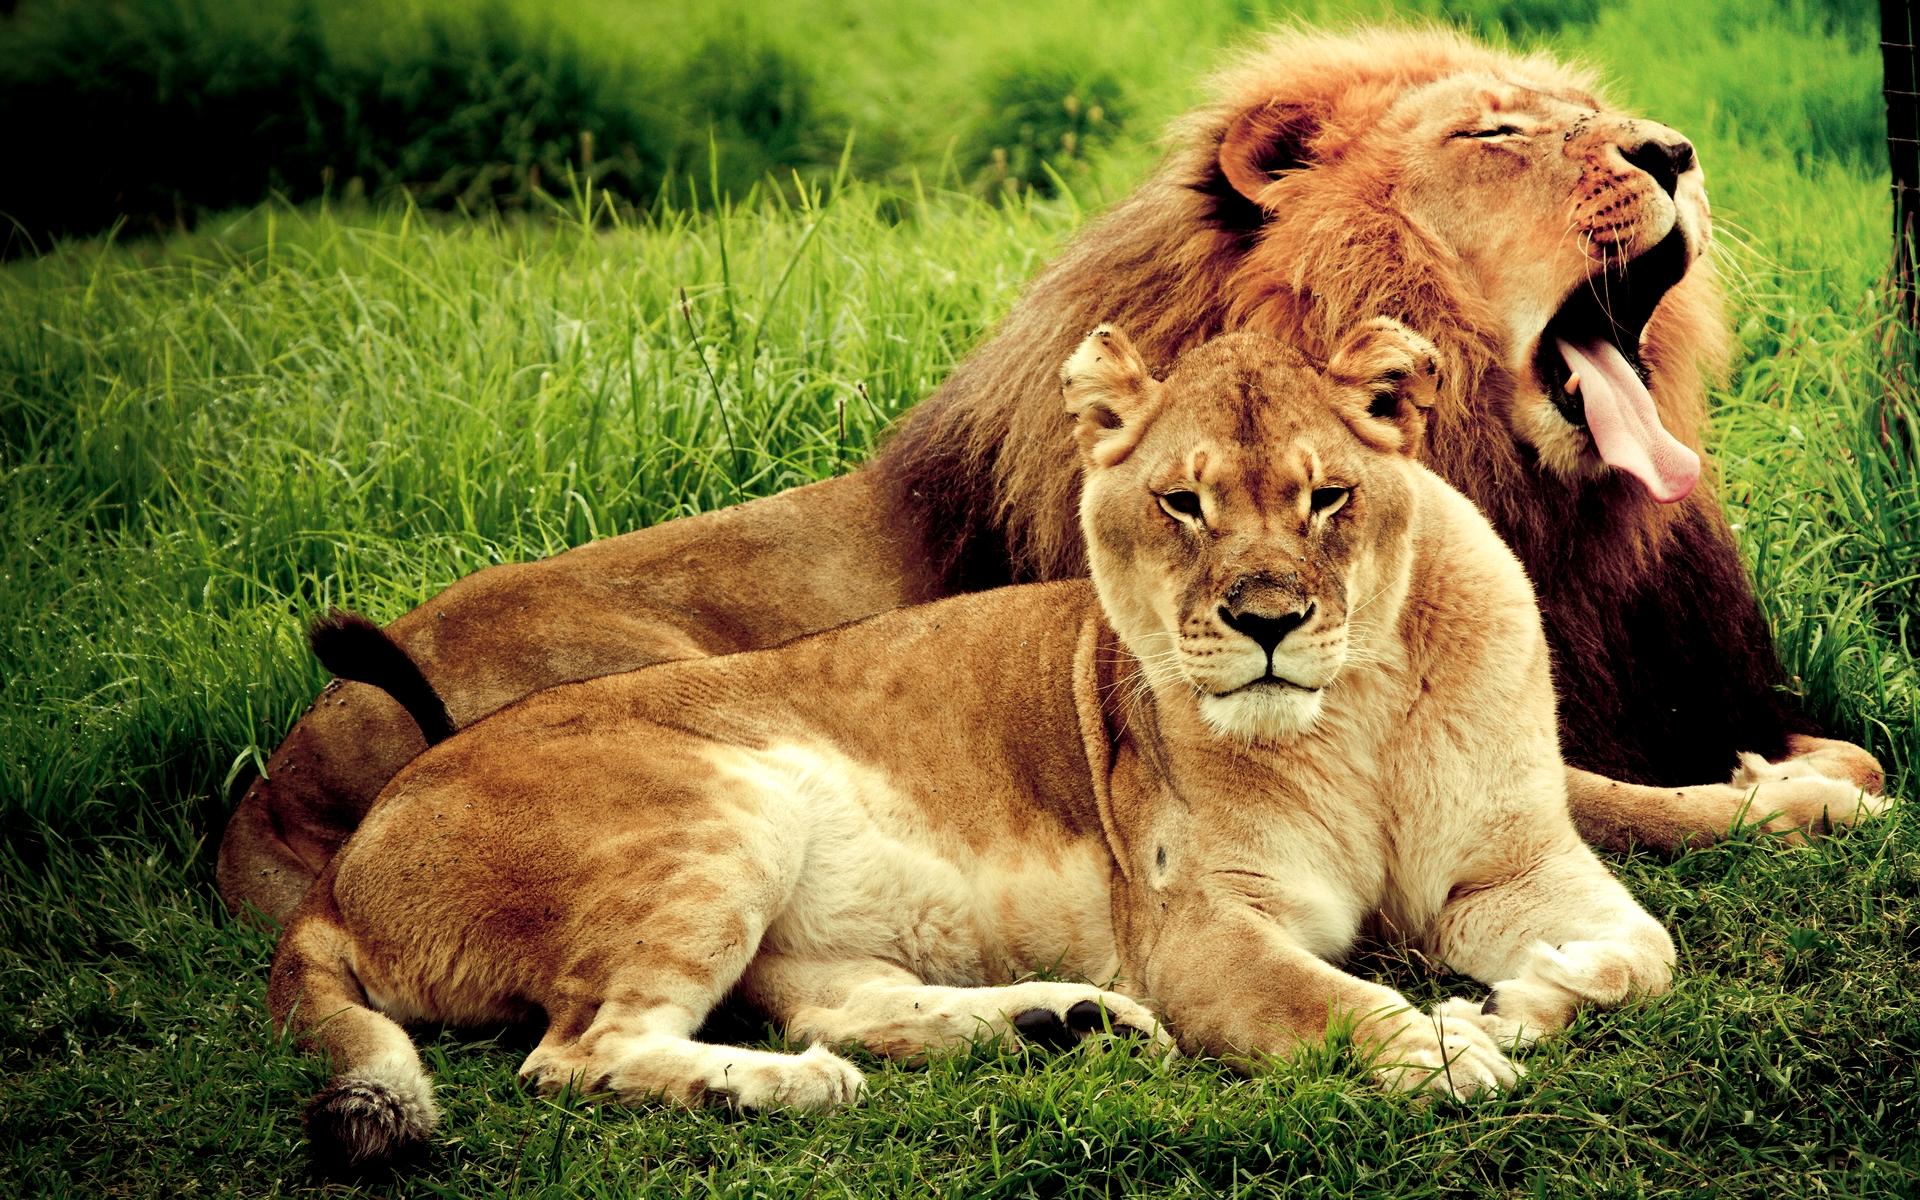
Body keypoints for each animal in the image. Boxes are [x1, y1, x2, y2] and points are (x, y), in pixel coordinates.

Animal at [221, 26, 1885, 927]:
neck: (1516, 488)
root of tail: (285, 772)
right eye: (1499, 131)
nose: (1675, 150)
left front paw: (1802, 765)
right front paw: (1791, 802)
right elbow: (1634, 802)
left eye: (1597, 118)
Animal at [270, 321, 1677, 1170]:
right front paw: (1447, 1045)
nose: (1268, 624)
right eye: (1183, 504)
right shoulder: (1199, 931)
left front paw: (1539, 990)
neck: (1361, 711)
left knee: (847, 1008)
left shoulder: (1510, 867)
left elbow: (1649, 953)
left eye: (1327, 498)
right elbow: (1329, 999)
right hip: (717, 809)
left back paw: (1057, 1025)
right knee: (577, 1057)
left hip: (790, 919)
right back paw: (776, 1092)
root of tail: (339, 871)